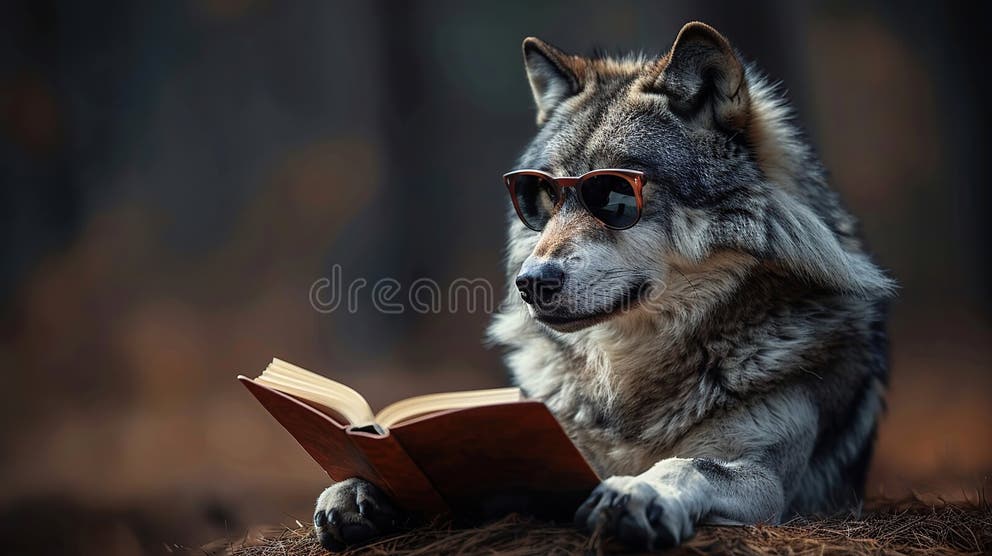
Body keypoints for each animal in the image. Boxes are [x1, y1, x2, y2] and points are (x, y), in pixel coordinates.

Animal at [312, 21, 894, 551]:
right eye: (540, 196)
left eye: (613, 195)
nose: (530, 282)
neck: (629, 376)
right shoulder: (555, 438)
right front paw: (362, 480)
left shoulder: (764, 479)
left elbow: (687, 465)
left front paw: (638, 493)